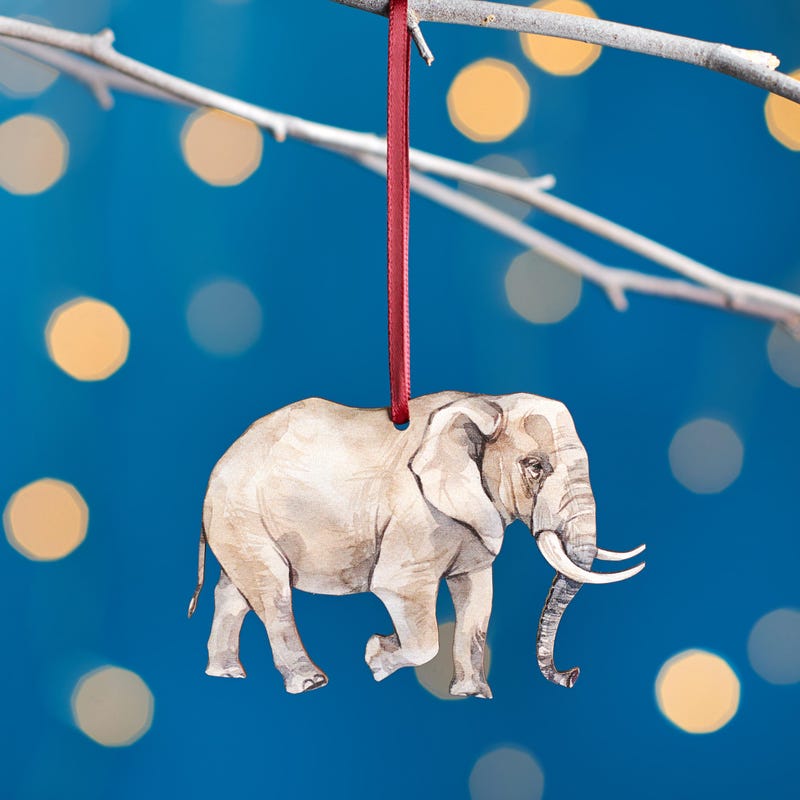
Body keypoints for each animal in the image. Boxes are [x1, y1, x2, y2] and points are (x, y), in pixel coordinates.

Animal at [188, 391, 645, 697]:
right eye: (535, 467)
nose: (573, 675)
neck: (486, 403)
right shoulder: (415, 513)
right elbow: (400, 593)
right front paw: (376, 656)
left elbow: (478, 598)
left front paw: (472, 694)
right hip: (241, 514)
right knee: (273, 592)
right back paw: (310, 682)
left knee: (236, 592)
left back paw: (225, 674)